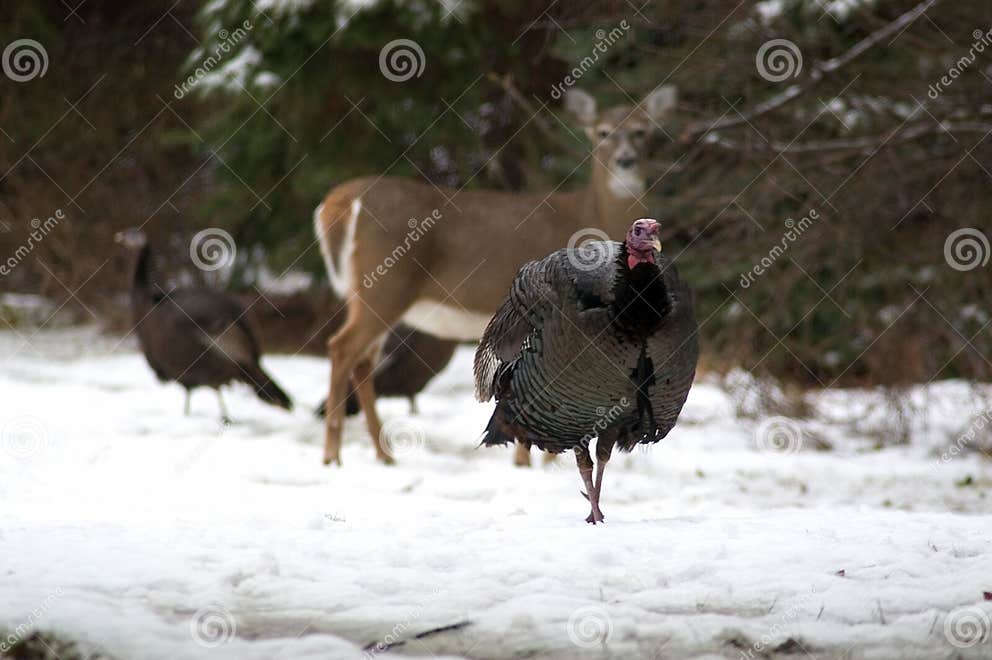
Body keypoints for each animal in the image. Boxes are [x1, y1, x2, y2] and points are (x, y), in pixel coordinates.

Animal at [313, 85, 678, 466]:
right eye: (602, 132)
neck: (590, 216)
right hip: (385, 285)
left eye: (642, 131)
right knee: (341, 348)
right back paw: (332, 455)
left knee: (362, 361)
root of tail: (339, 204)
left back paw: (382, 454)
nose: (626, 161)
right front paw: (535, 462)